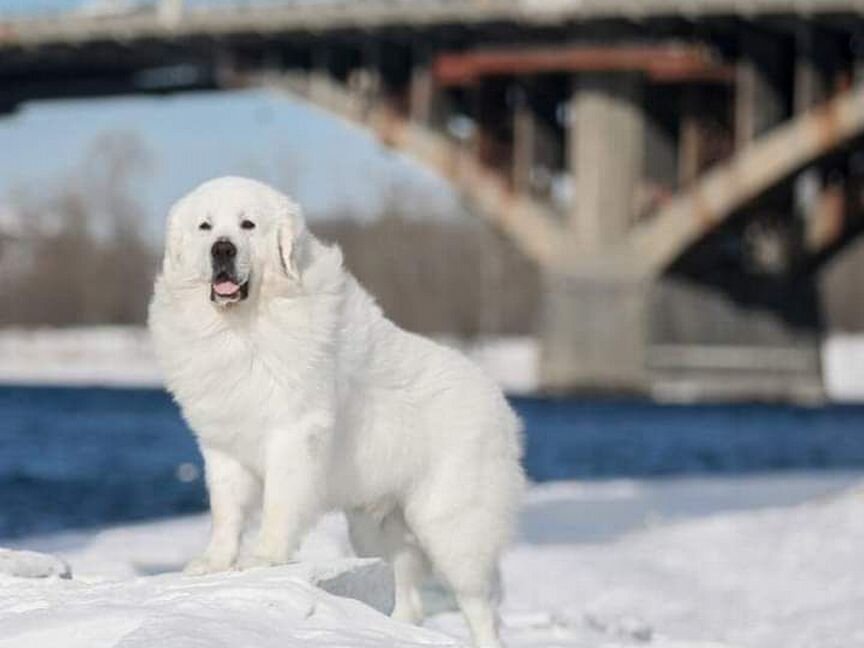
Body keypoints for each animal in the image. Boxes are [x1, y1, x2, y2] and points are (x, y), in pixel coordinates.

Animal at [148, 177, 524, 648]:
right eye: (205, 226)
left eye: (248, 224)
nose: (223, 249)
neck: (244, 326)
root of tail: (500, 402)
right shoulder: (223, 447)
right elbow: (225, 510)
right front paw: (215, 562)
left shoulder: (293, 434)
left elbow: (279, 503)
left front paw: (265, 557)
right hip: (375, 530)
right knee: (408, 597)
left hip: (451, 525)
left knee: (479, 607)